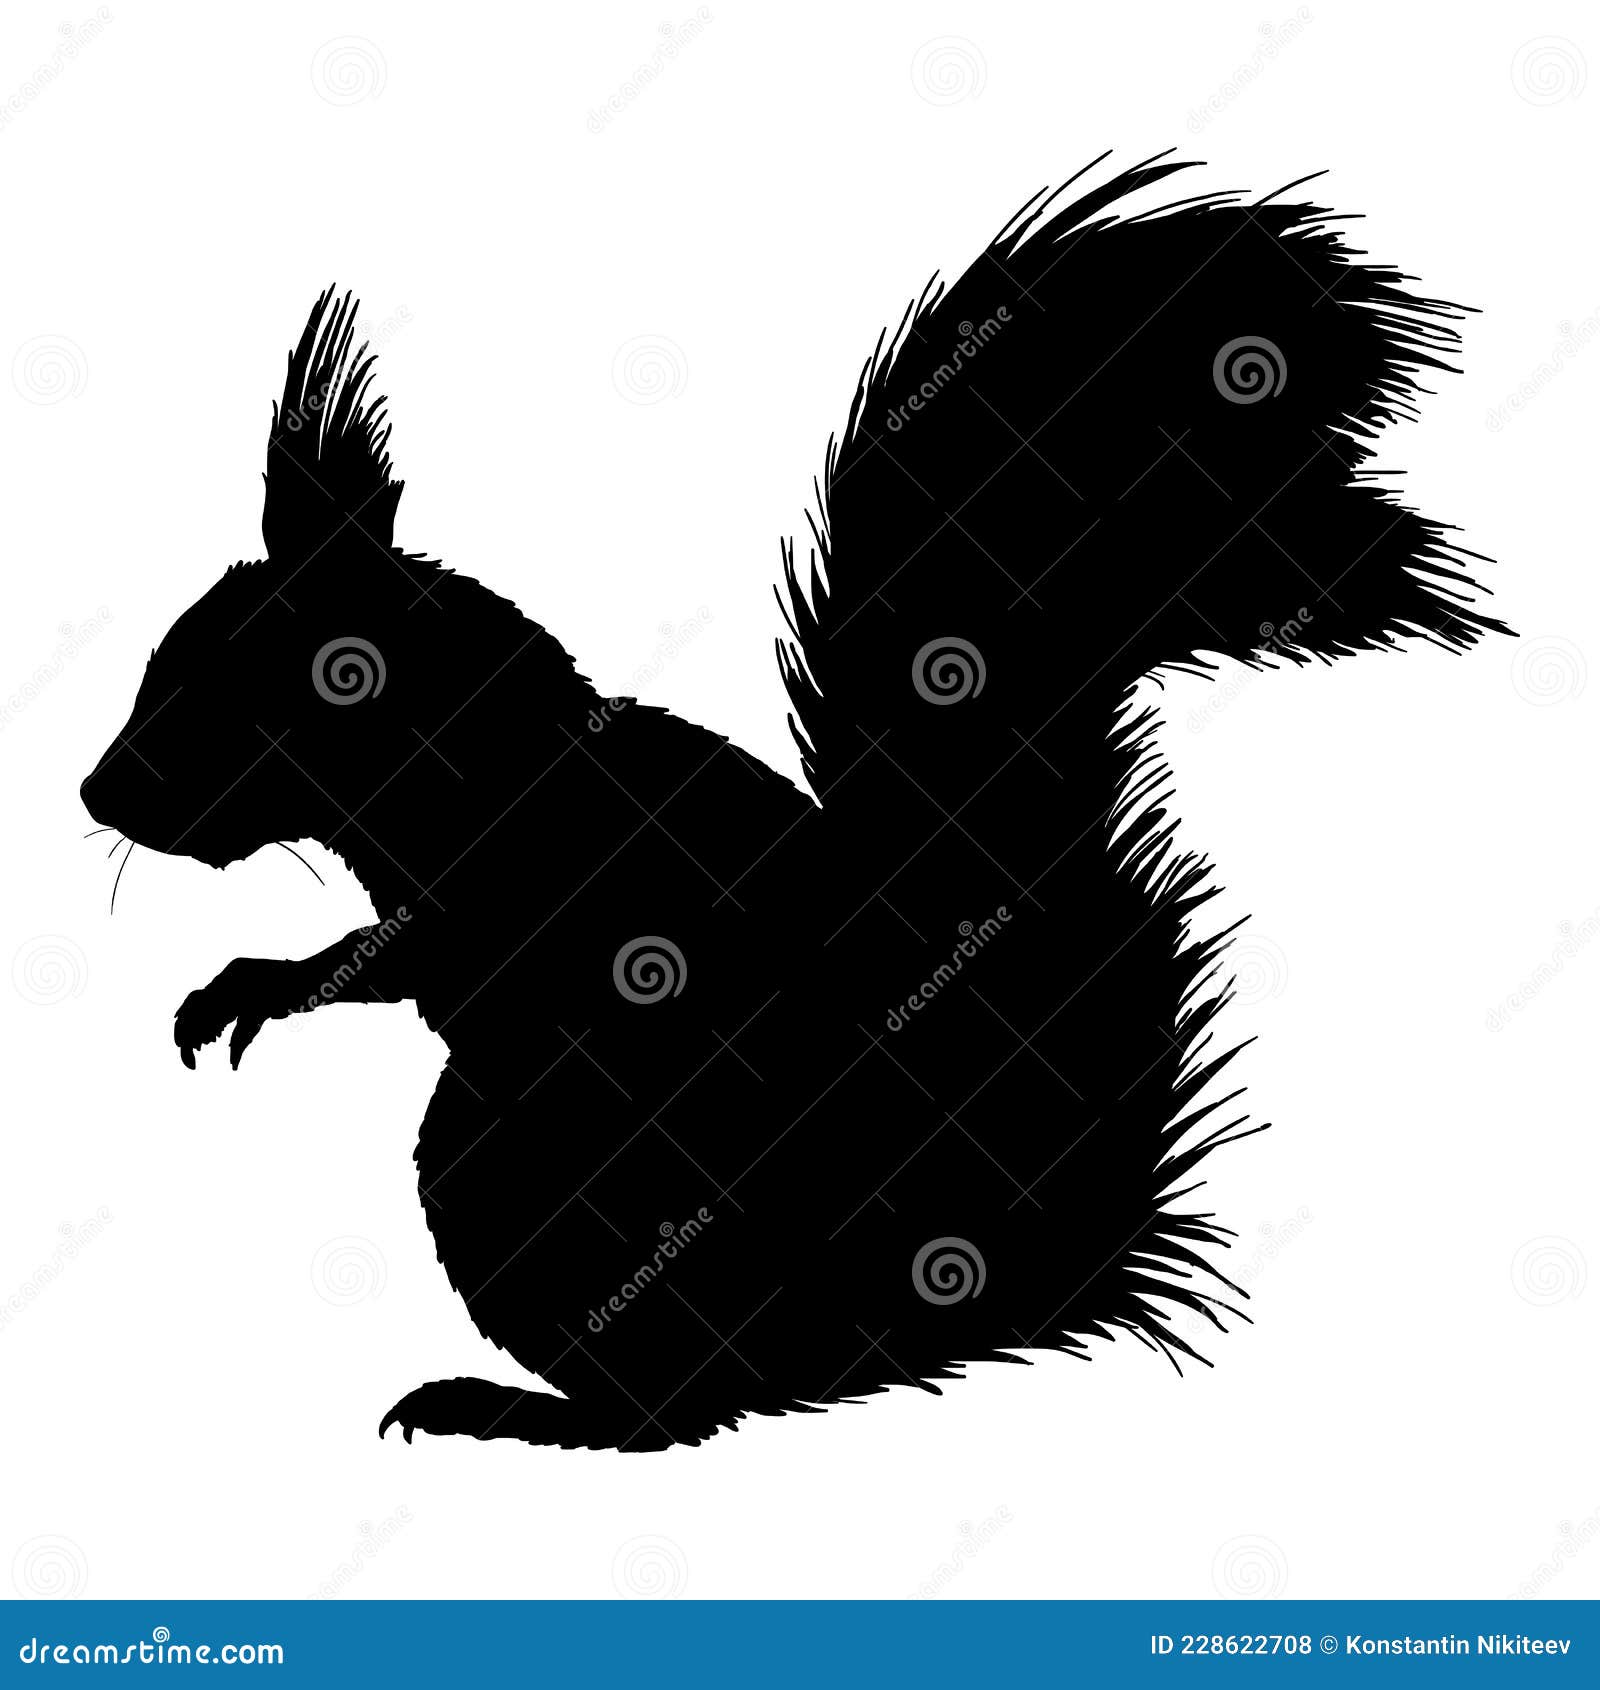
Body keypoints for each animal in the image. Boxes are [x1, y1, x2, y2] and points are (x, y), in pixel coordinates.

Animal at [82, 152, 1503, 1451]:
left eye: (217, 696)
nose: (96, 793)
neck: (471, 747)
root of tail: (938, 1292)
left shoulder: (517, 874)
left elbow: (394, 951)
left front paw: (254, 986)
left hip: (514, 1170)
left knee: (688, 1411)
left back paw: (510, 1409)